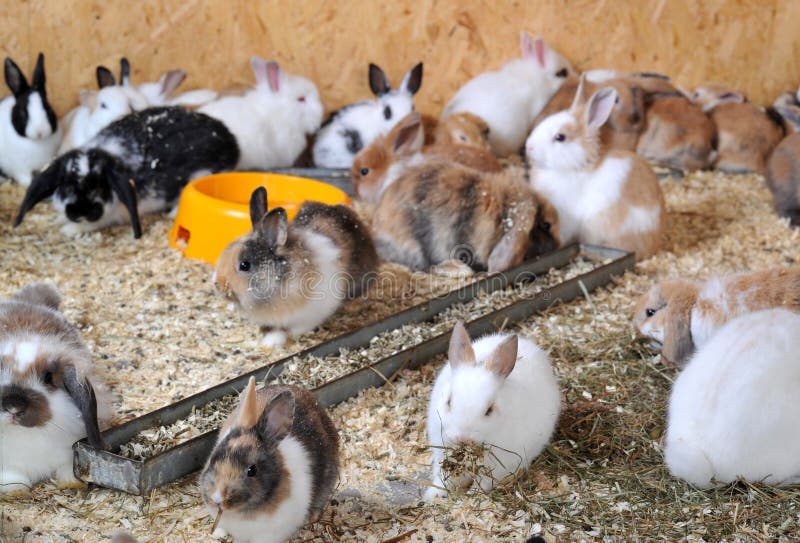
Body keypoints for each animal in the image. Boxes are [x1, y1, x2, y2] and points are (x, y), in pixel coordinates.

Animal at [0, 53, 61, 186]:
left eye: (48, 108)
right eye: (23, 113)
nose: (40, 132)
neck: (36, 142)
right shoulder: (19, 169)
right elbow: (25, 179)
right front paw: (28, 184)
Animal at [15, 106, 239, 238]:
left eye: (101, 185)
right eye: (65, 185)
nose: (82, 211)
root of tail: (231, 142)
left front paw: (70, 229)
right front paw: (60, 220)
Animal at [213, 187, 378, 348]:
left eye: (244, 265)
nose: (217, 284)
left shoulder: (311, 313)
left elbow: (297, 328)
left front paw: (285, 337)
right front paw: (270, 341)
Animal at [425, 321, 560, 500]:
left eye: (489, 410)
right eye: (449, 402)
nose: (462, 439)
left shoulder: (500, 465)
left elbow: (484, 482)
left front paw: (472, 495)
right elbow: (442, 477)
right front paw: (432, 495)